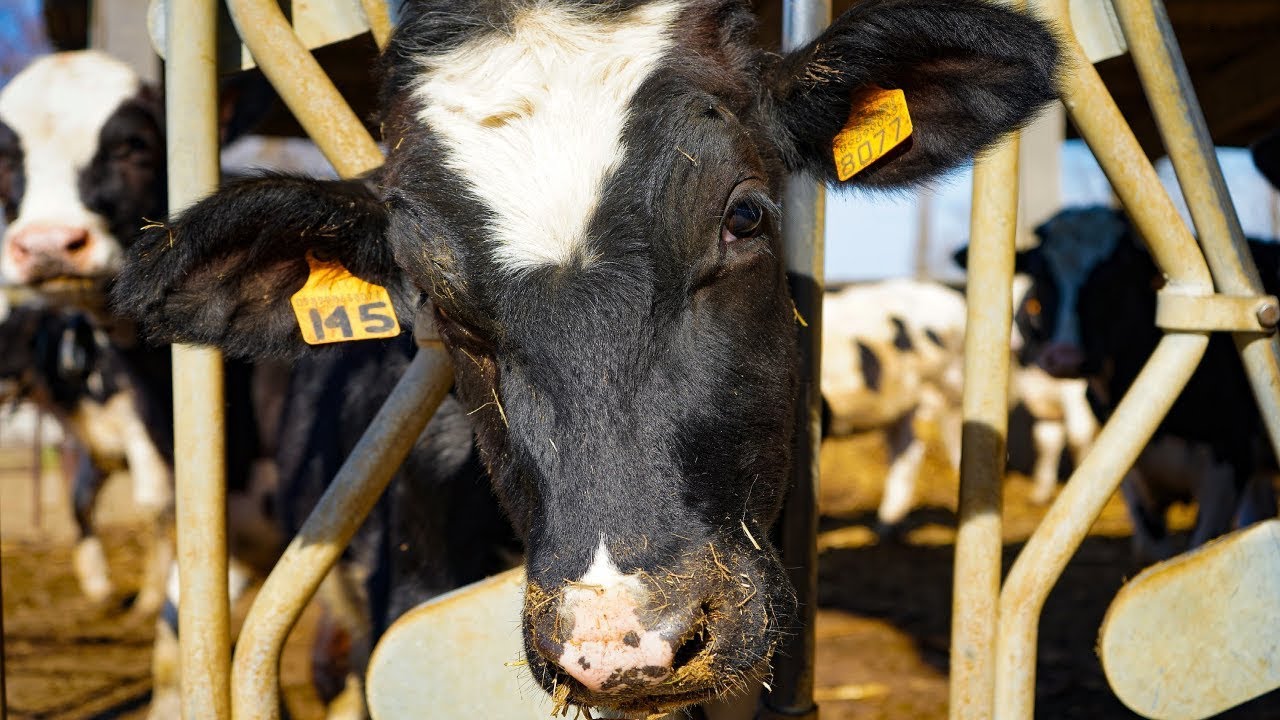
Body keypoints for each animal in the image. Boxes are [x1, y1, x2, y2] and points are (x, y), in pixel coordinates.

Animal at [1007, 205, 1279, 563]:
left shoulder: (1228, 463)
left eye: (1114, 278)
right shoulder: (1131, 475)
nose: (1065, 357)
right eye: (1042, 278)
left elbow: (1201, 545)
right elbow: (1155, 551)